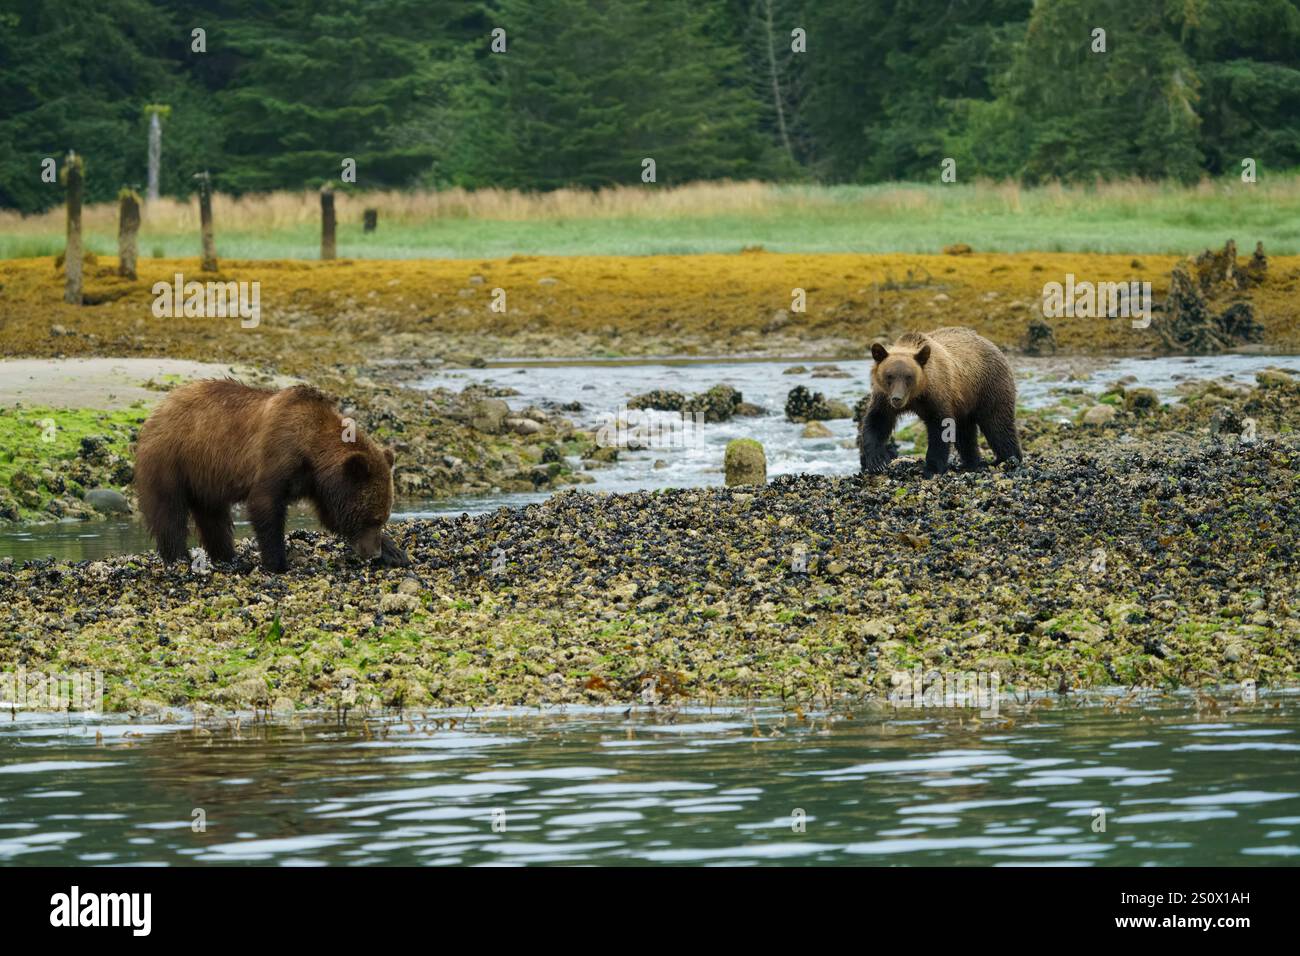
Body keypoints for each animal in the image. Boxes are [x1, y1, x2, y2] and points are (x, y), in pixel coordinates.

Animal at [134, 380, 409, 572]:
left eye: (383, 518)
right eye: (372, 518)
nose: (372, 553)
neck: (312, 448)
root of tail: (158, 409)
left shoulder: (319, 484)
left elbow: (332, 515)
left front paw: (395, 552)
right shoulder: (278, 455)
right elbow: (265, 504)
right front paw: (278, 562)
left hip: (204, 474)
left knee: (213, 516)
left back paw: (227, 556)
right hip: (171, 459)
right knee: (168, 511)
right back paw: (178, 557)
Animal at [858, 326, 1021, 477]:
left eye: (908, 376)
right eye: (889, 376)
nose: (897, 398)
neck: (916, 396)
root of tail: (995, 346)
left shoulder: (937, 394)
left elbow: (940, 428)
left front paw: (931, 468)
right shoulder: (883, 398)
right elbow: (877, 421)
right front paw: (877, 462)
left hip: (989, 387)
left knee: (997, 424)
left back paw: (1008, 459)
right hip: (964, 402)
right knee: (965, 433)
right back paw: (972, 463)